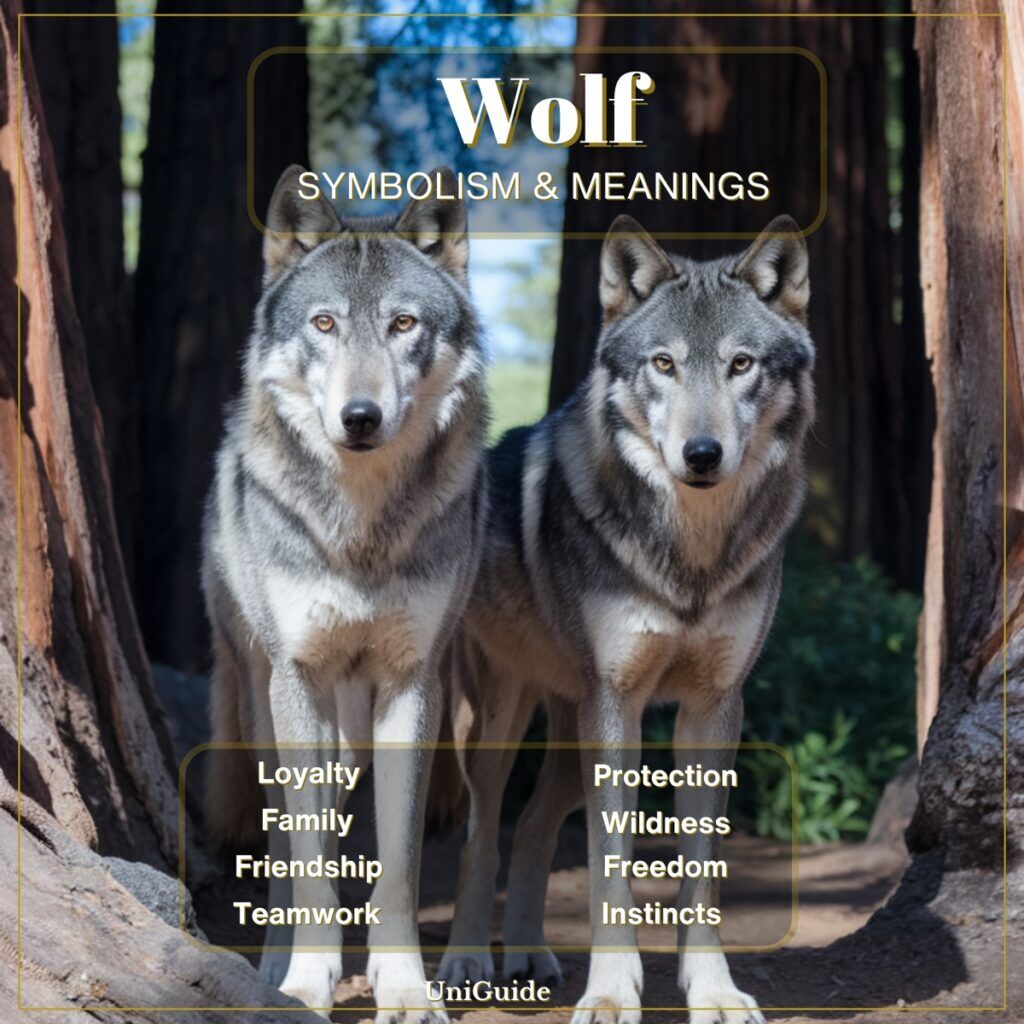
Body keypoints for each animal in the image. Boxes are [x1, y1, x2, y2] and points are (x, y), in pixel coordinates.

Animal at [202, 165, 487, 1023]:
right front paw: (304, 982)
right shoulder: (300, 680)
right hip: (270, 705)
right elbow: (309, 860)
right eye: (325, 323)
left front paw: (406, 989)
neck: (361, 530)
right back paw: (273, 965)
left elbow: (396, 863)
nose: (360, 417)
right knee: (290, 842)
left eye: (402, 324)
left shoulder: (410, 685)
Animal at [436, 215, 814, 1024]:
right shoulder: (619, 703)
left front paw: (714, 993)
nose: (701, 454)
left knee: (535, 829)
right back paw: (466, 959)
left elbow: (700, 872)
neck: (691, 557)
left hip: (573, 725)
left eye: (741, 364)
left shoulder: (711, 708)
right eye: (664, 364)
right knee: (483, 834)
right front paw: (610, 994)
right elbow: (611, 867)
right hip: (506, 719)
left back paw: (529, 954)